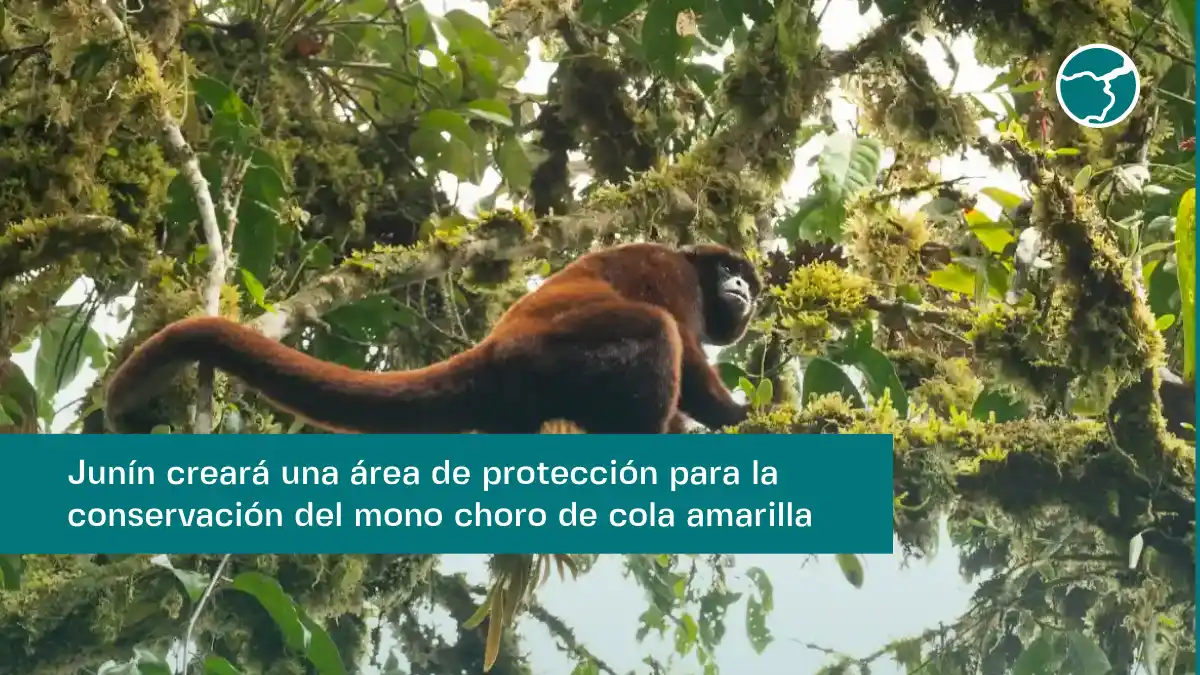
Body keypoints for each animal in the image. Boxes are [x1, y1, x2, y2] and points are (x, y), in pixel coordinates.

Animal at [104, 242, 763, 434]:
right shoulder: (671, 272)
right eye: (729, 270)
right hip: (549, 355)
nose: (744, 289)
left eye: (747, 280)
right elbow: (685, 343)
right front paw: (739, 413)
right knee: (654, 330)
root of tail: (489, 350)